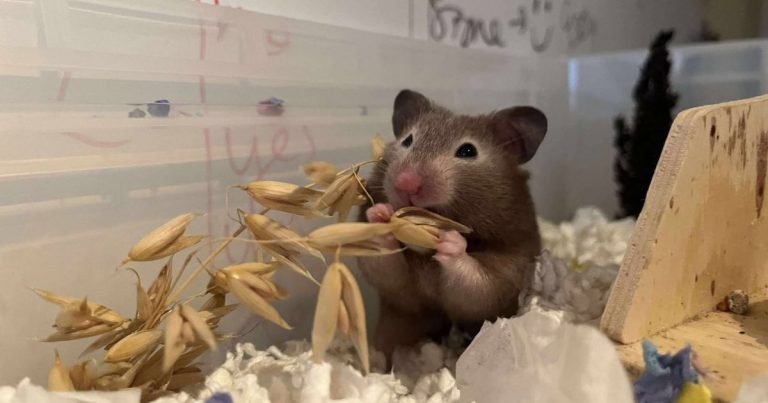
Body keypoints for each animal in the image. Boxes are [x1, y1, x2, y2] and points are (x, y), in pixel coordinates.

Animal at [356, 89, 547, 365]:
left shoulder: (500, 278)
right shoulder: (399, 293)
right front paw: (380, 214)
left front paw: (451, 240)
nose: (406, 182)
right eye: (407, 140)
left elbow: (474, 281)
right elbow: (384, 265)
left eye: (468, 151)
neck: (424, 255)